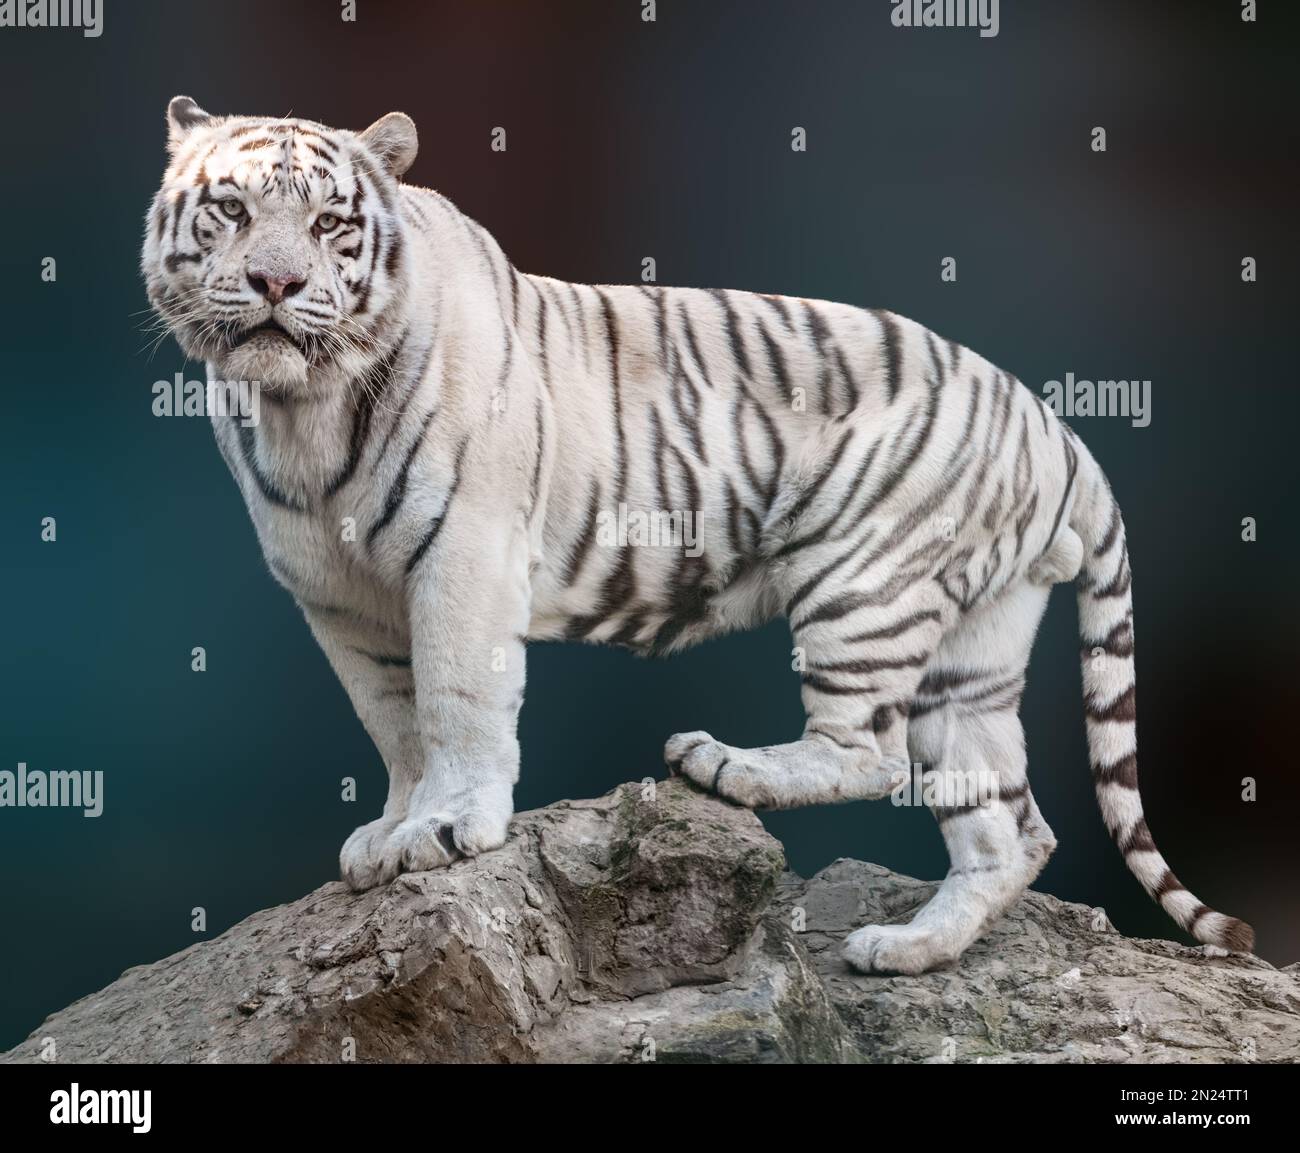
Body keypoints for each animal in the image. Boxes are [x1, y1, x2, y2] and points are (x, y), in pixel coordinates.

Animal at [142, 97, 1253, 975]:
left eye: (330, 223)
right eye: (232, 210)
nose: (278, 285)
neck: (300, 408)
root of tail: (1057, 428)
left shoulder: (462, 558)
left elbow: (456, 701)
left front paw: (448, 826)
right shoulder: (337, 598)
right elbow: (393, 718)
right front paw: (394, 827)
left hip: (865, 584)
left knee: (868, 753)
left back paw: (727, 766)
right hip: (973, 645)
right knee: (1010, 824)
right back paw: (907, 949)